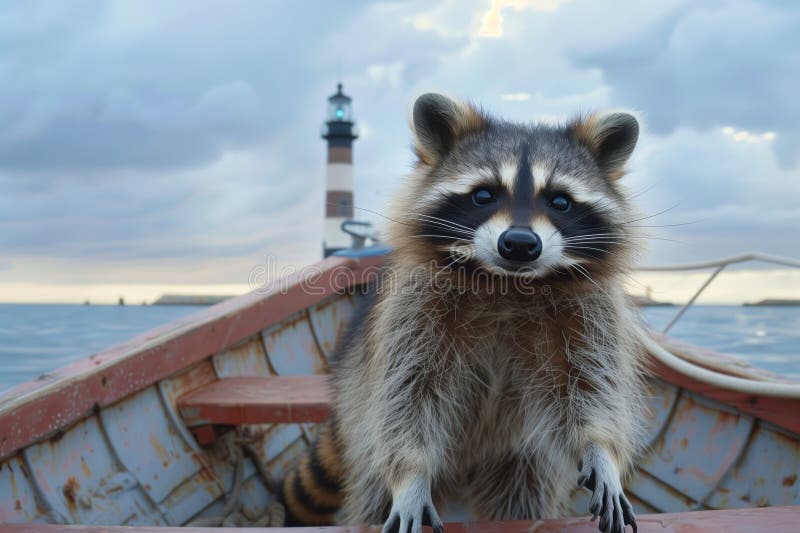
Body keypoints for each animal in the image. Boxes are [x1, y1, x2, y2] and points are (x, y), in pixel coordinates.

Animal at [281, 93, 647, 533]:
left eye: (560, 201)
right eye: (484, 195)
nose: (519, 243)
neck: (507, 283)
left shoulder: (589, 313)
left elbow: (591, 386)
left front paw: (601, 449)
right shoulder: (414, 311)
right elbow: (406, 396)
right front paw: (410, 474)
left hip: (519, 458)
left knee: (524, 495)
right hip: (362, 422)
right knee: (372, 487)